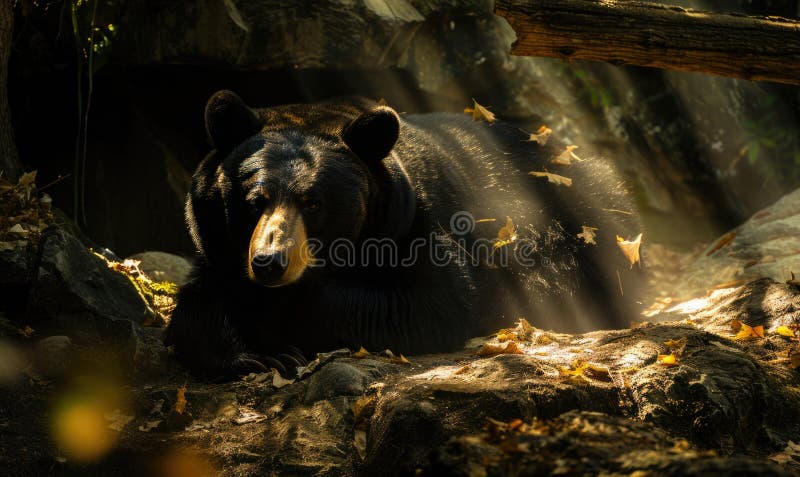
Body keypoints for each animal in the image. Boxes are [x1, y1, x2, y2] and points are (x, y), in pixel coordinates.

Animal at [163, 90, 644, 380]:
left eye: (313, 202)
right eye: (254, 199)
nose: (269, 263)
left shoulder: (421, 224)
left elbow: (431, 303)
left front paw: (281, 335)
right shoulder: (216, 249)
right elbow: (197, 311)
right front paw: (259, 354)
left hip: (582, 217)